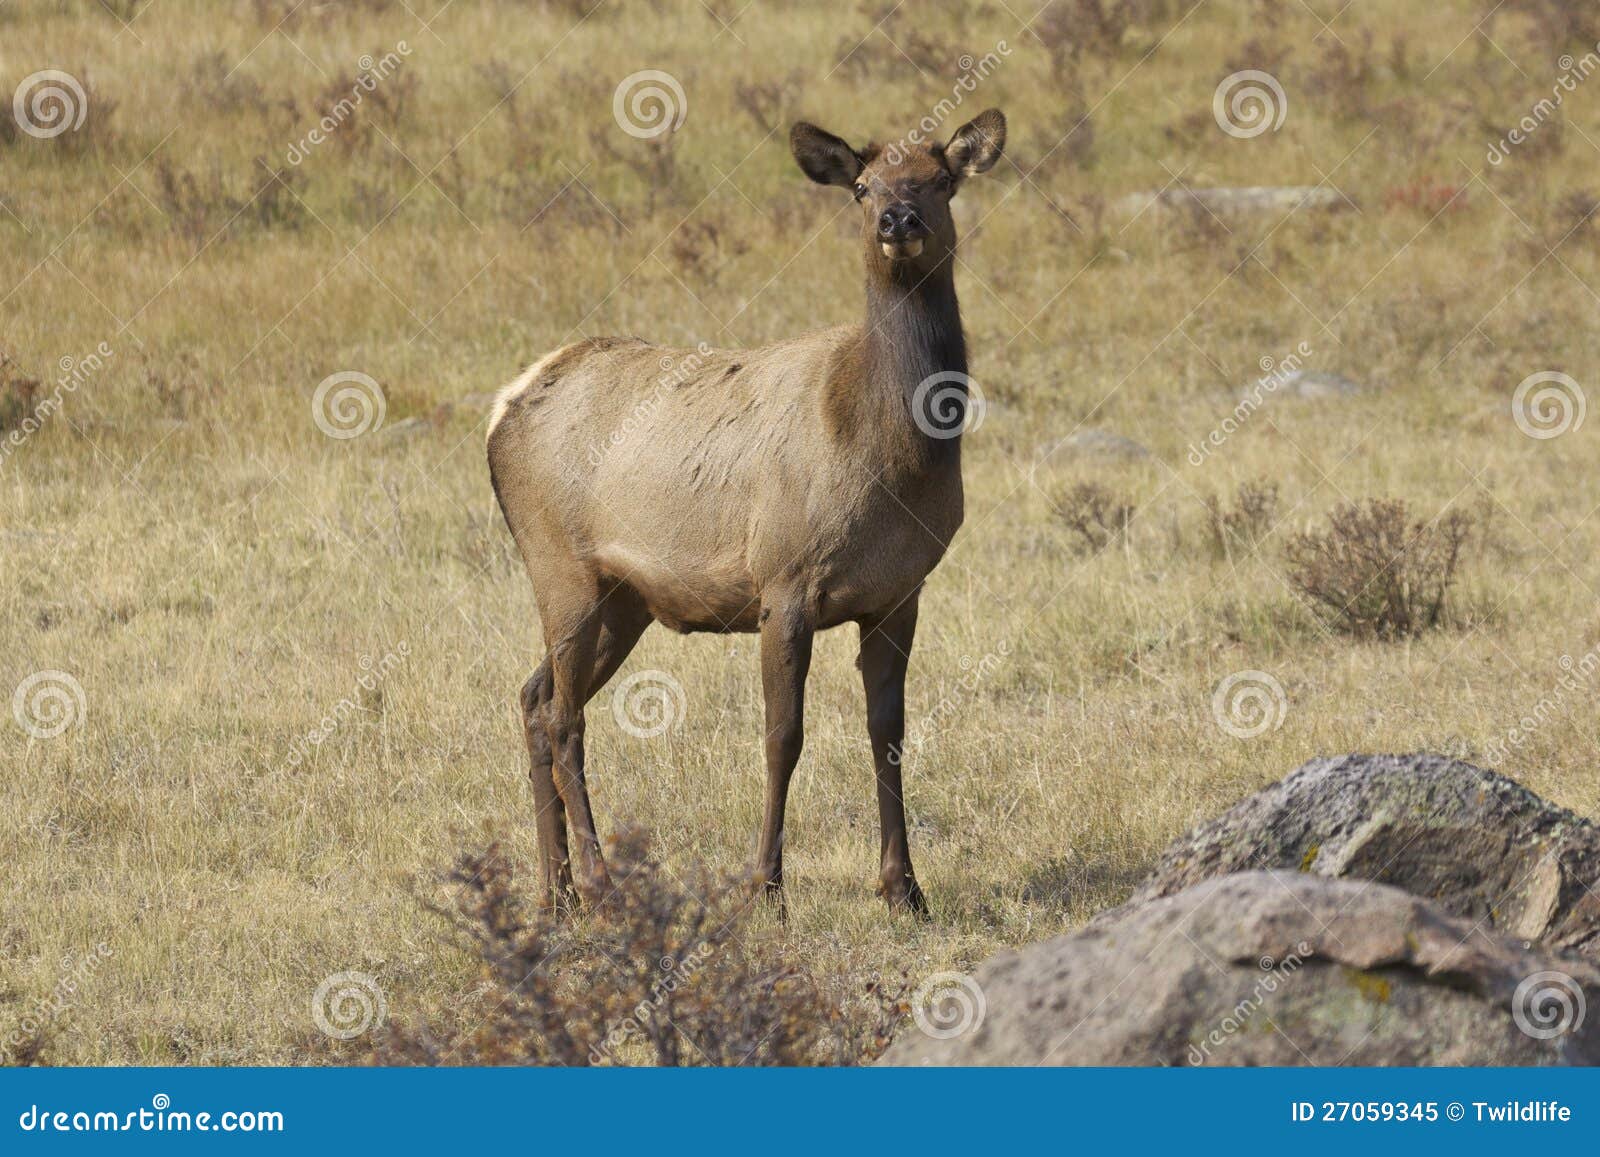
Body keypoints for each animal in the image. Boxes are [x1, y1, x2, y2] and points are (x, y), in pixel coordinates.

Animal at [486, 108, 1006, 918]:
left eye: (941, 179)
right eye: (862, 186)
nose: (898, 218)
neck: (890, 456)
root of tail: (501, 408)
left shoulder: (900, 591)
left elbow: (887, 732)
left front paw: (904, 889)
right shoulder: (784, 581)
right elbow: (782, 737)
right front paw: (766, 887)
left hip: (623, 598)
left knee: (533, 695)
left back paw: (556, 891)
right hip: (559, 566)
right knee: (564, 716)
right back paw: (601, 886)